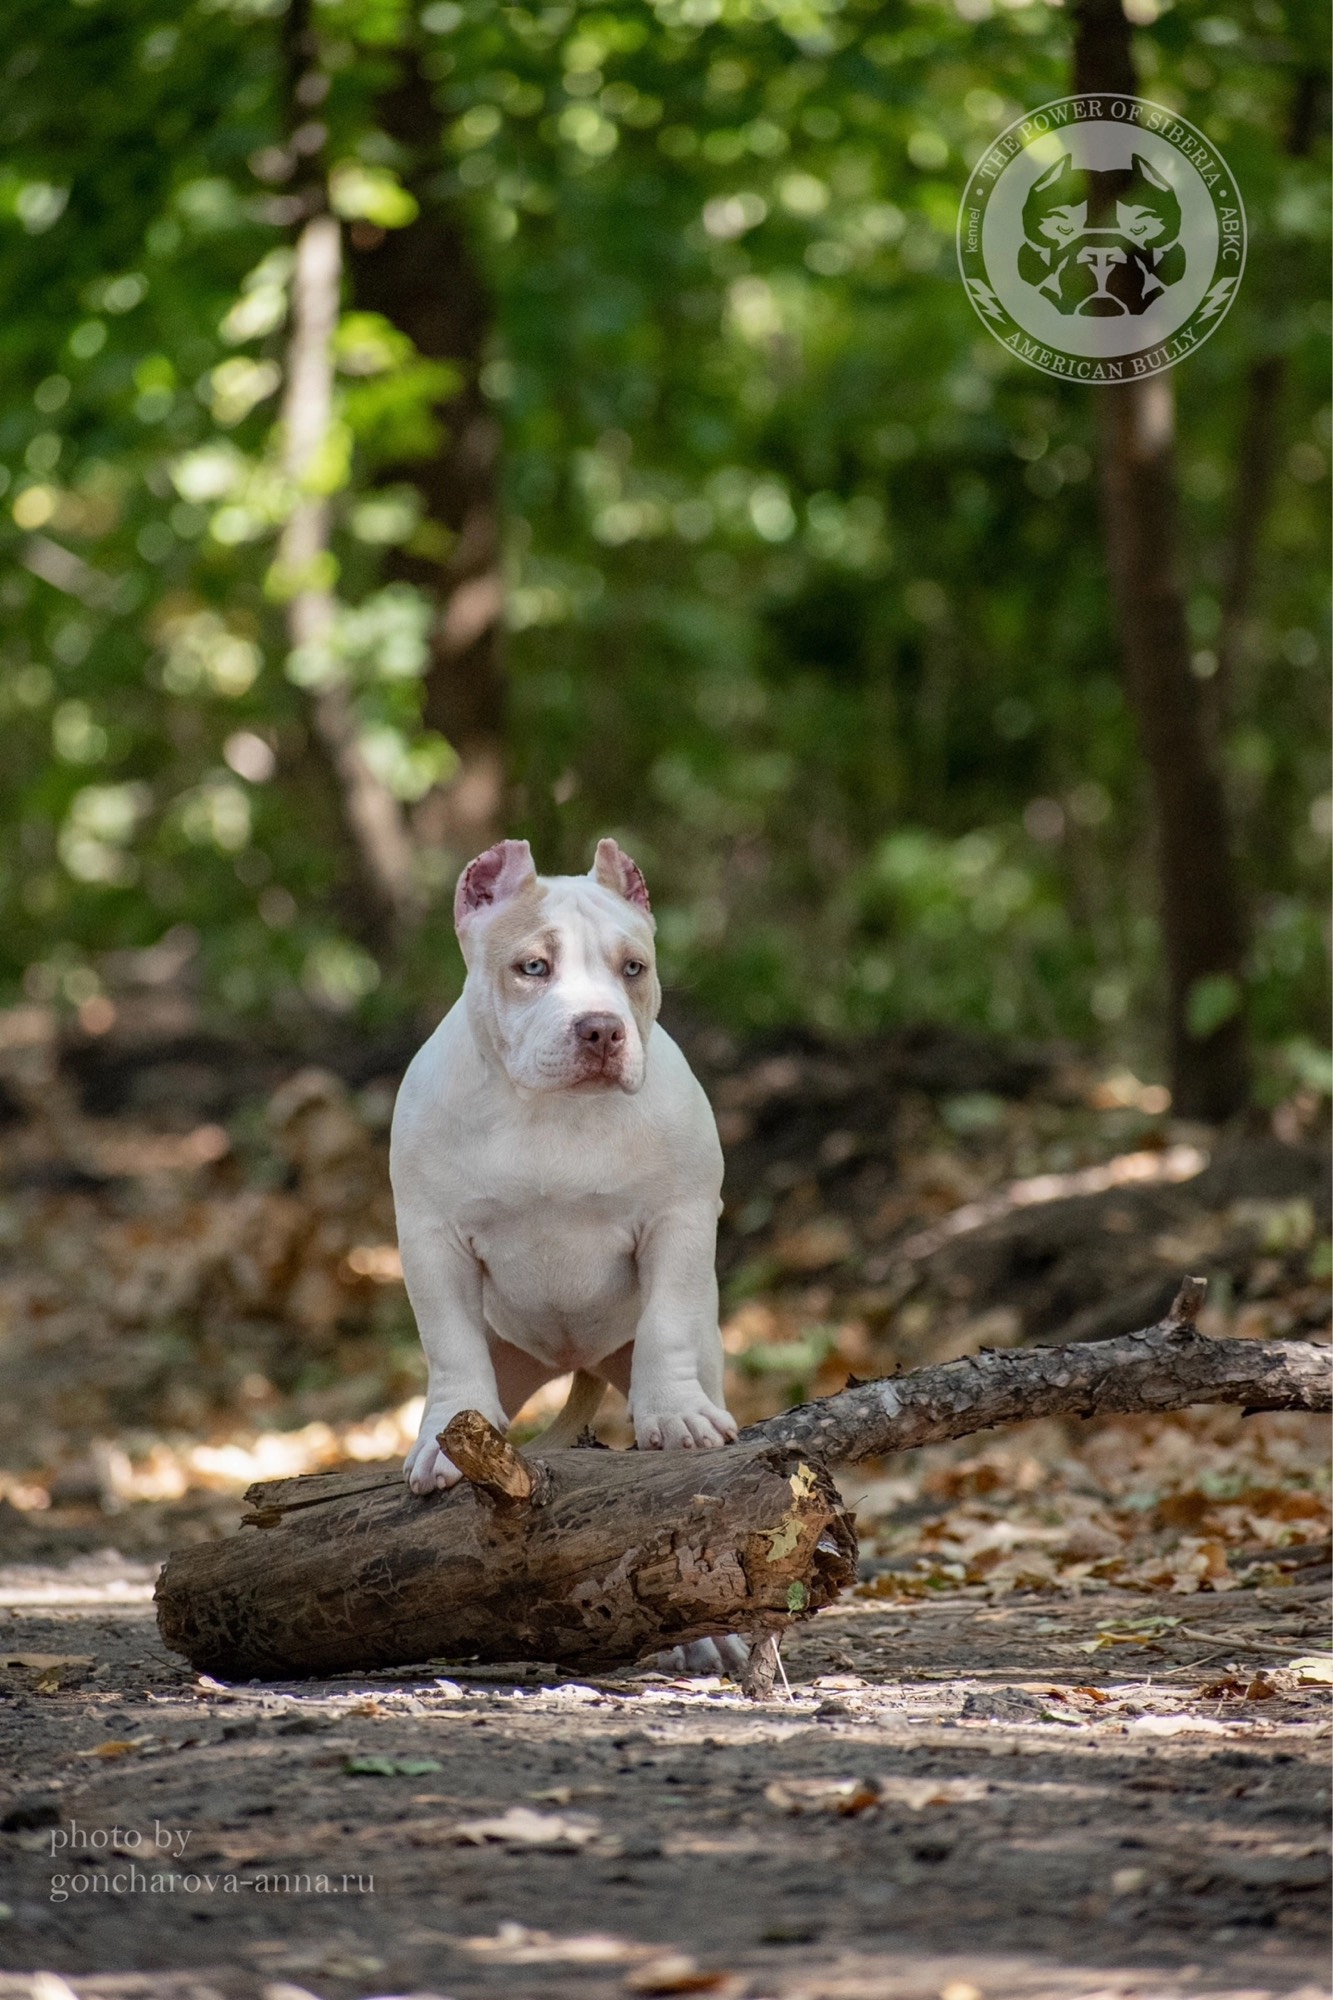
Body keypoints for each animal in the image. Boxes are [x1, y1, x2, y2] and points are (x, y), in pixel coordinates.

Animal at [390, 828, 736, 1504]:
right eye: (533, 967)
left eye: (634, 968)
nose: (600, 1029)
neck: (553, 1112)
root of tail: (574, 1361)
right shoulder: (431, 1238)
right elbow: (450, 1345)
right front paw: (444, 1440)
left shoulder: (678, 1219)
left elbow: (668, 1321)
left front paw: (675, 1415)